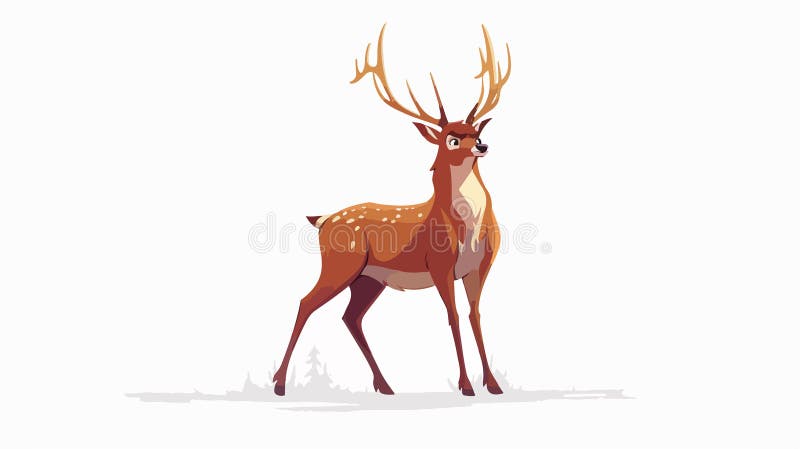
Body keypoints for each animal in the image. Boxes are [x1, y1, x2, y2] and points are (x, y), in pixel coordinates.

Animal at [273, 24, 511, 396]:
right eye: (452, 139)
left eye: (475, 132)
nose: (483, 146)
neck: (468, 228)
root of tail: (322, 220)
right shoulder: (440, 263)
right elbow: (454, 317)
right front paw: (465, 385)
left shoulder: (480, 266)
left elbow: (475, 316)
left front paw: (493, 384)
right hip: (341, 263)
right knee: (305, 302)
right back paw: (280, 383)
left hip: (369, 279)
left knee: (351, 317)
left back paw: (384, 384)